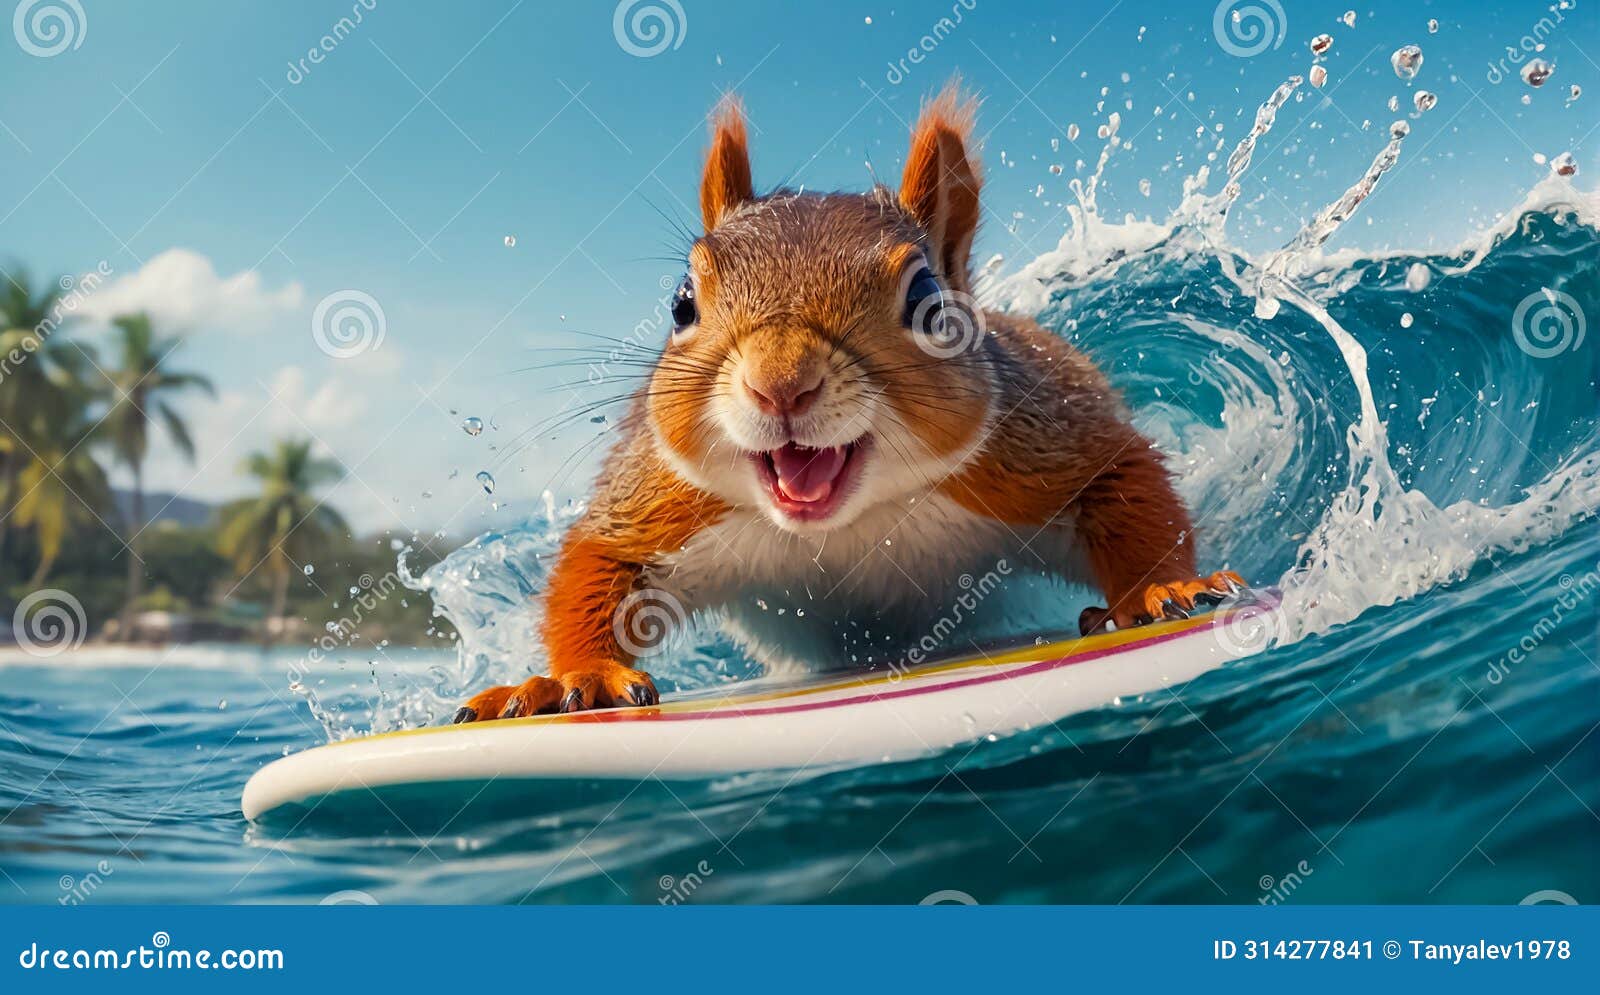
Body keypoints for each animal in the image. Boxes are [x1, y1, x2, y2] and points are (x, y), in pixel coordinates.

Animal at [454, 82, 1243, 723]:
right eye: (681, 303)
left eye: (927, 300)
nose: (780, 383)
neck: (847, 525)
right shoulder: (669, 501)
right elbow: (598, 562)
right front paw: (571, 679)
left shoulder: (1030, 450)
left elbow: (1126, 480)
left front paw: (1162, 590)